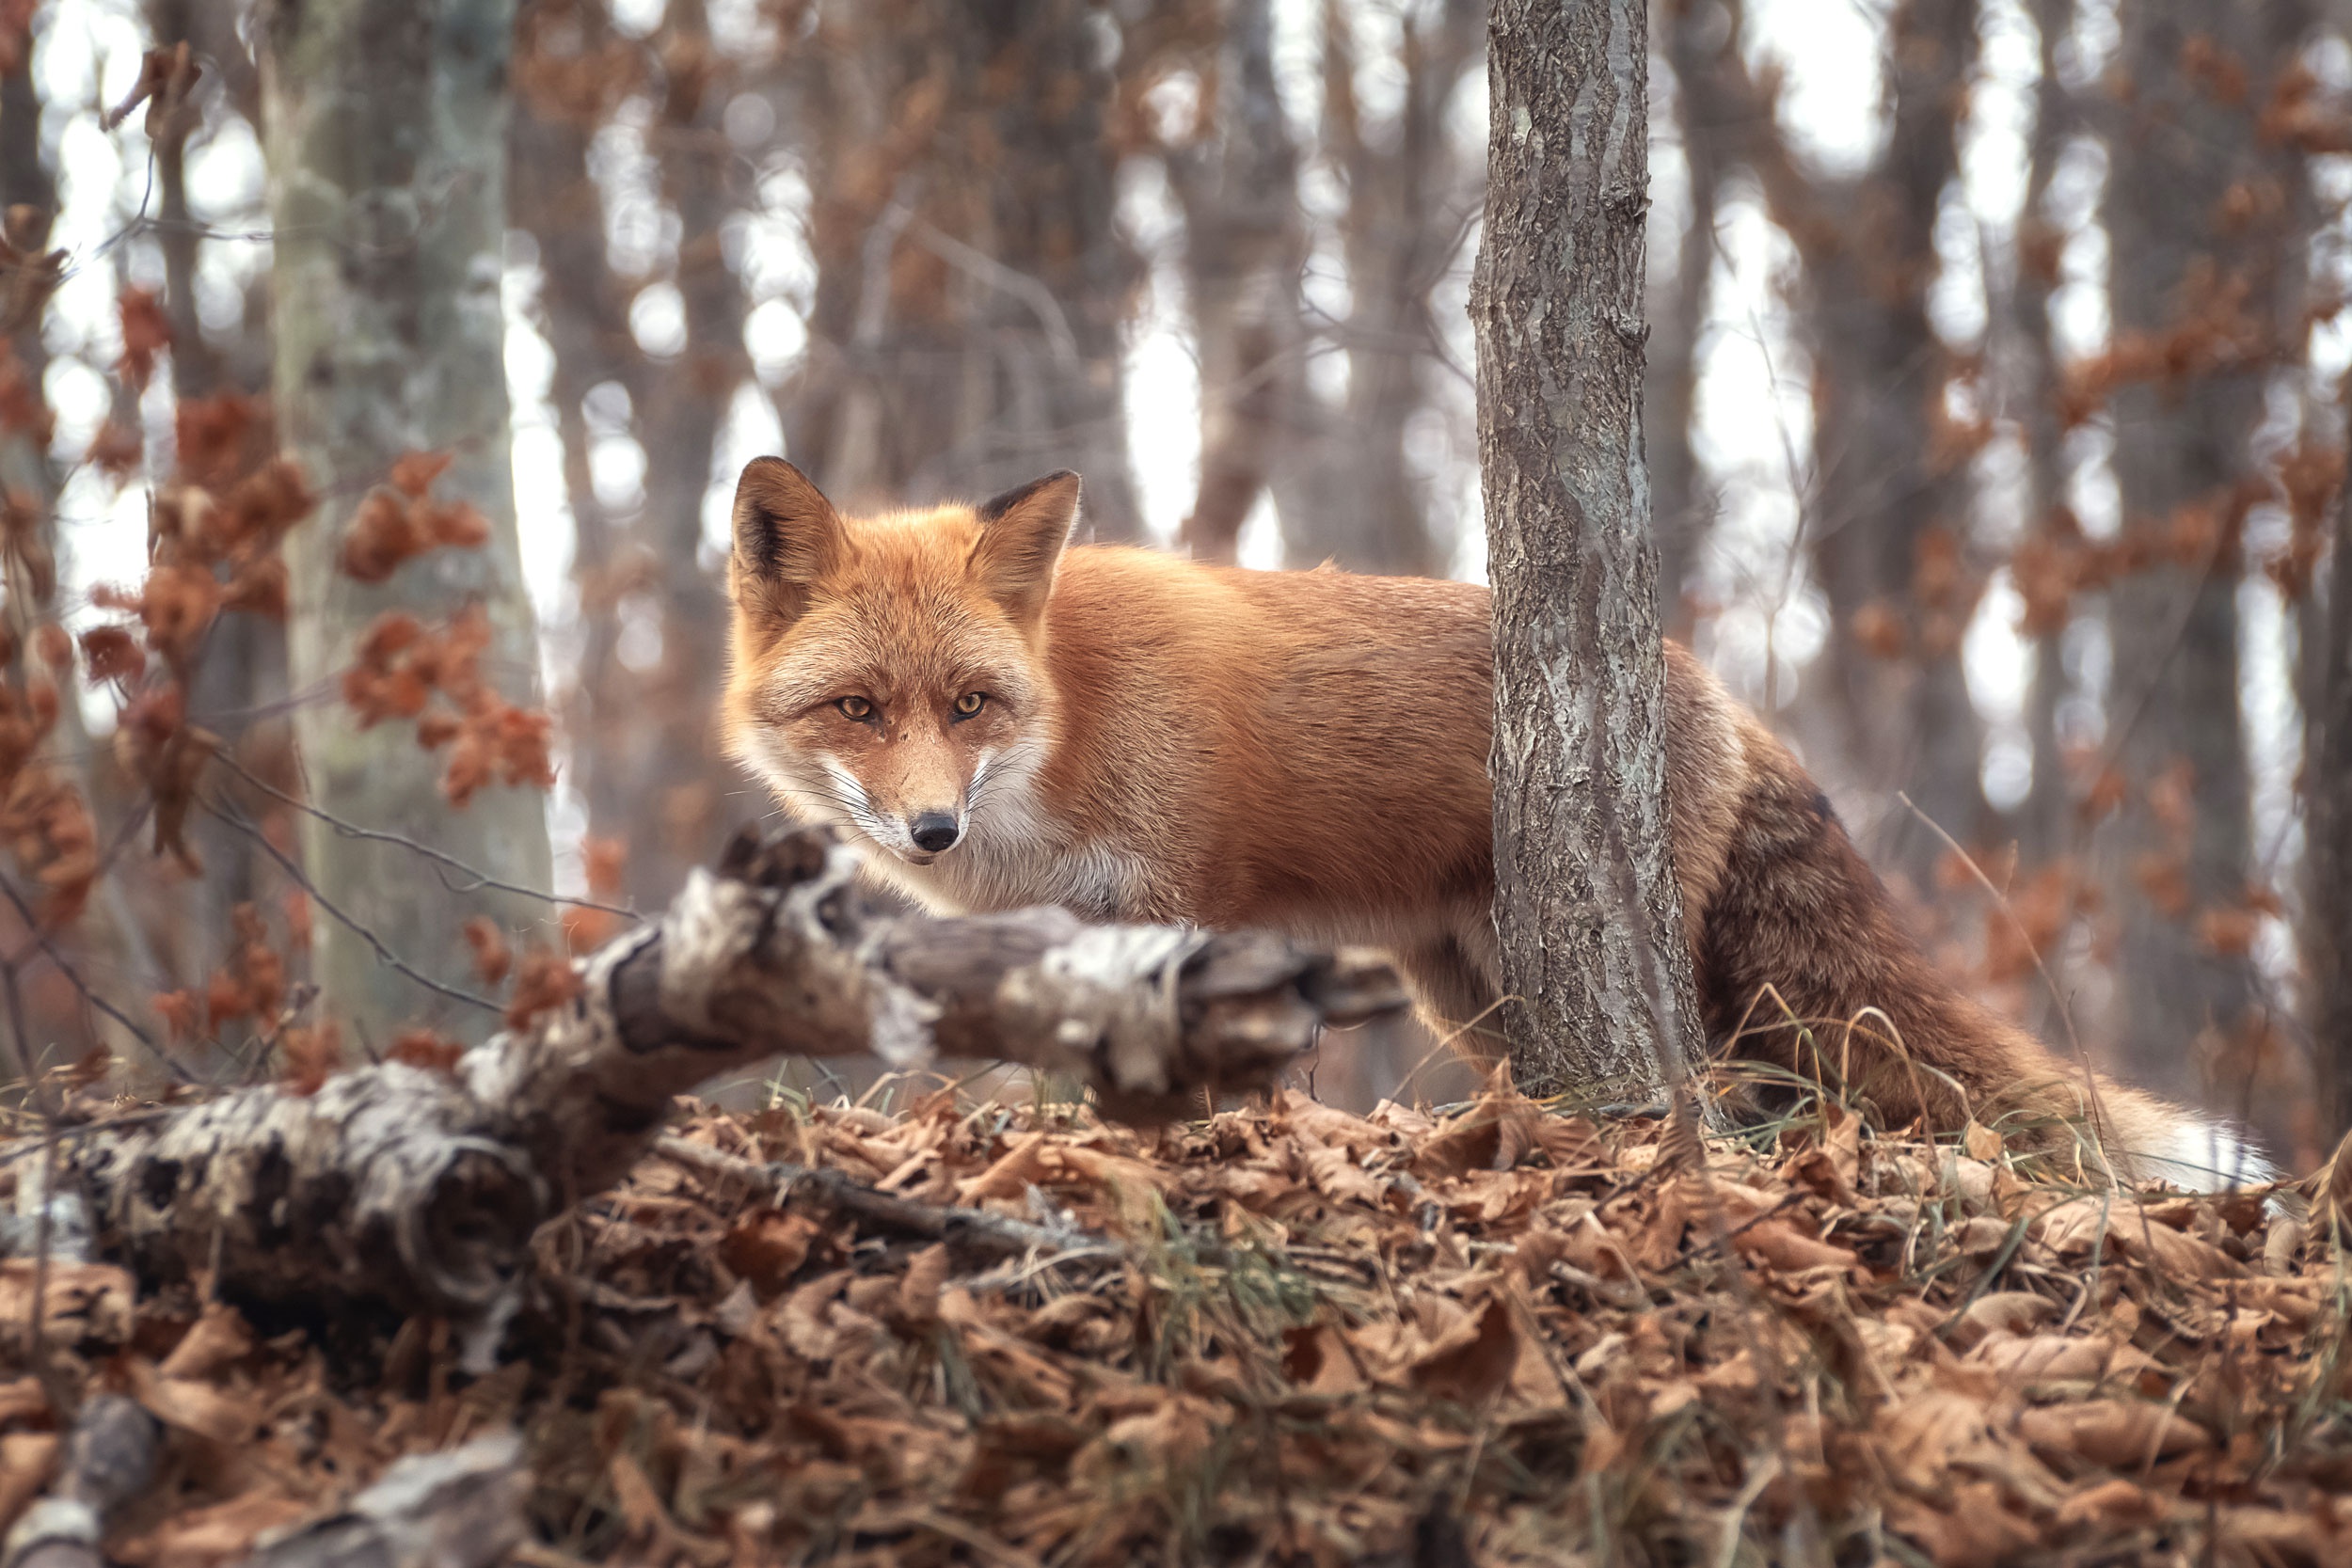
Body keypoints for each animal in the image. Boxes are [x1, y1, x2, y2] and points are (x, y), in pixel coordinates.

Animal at [720, 456, 2275, 1192]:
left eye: (969, 702)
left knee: (1751, 1093)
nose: (927, 830)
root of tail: (1705, 675)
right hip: (1476, 998)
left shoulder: (1171, 901)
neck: (1070, 719)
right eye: (858, 707)